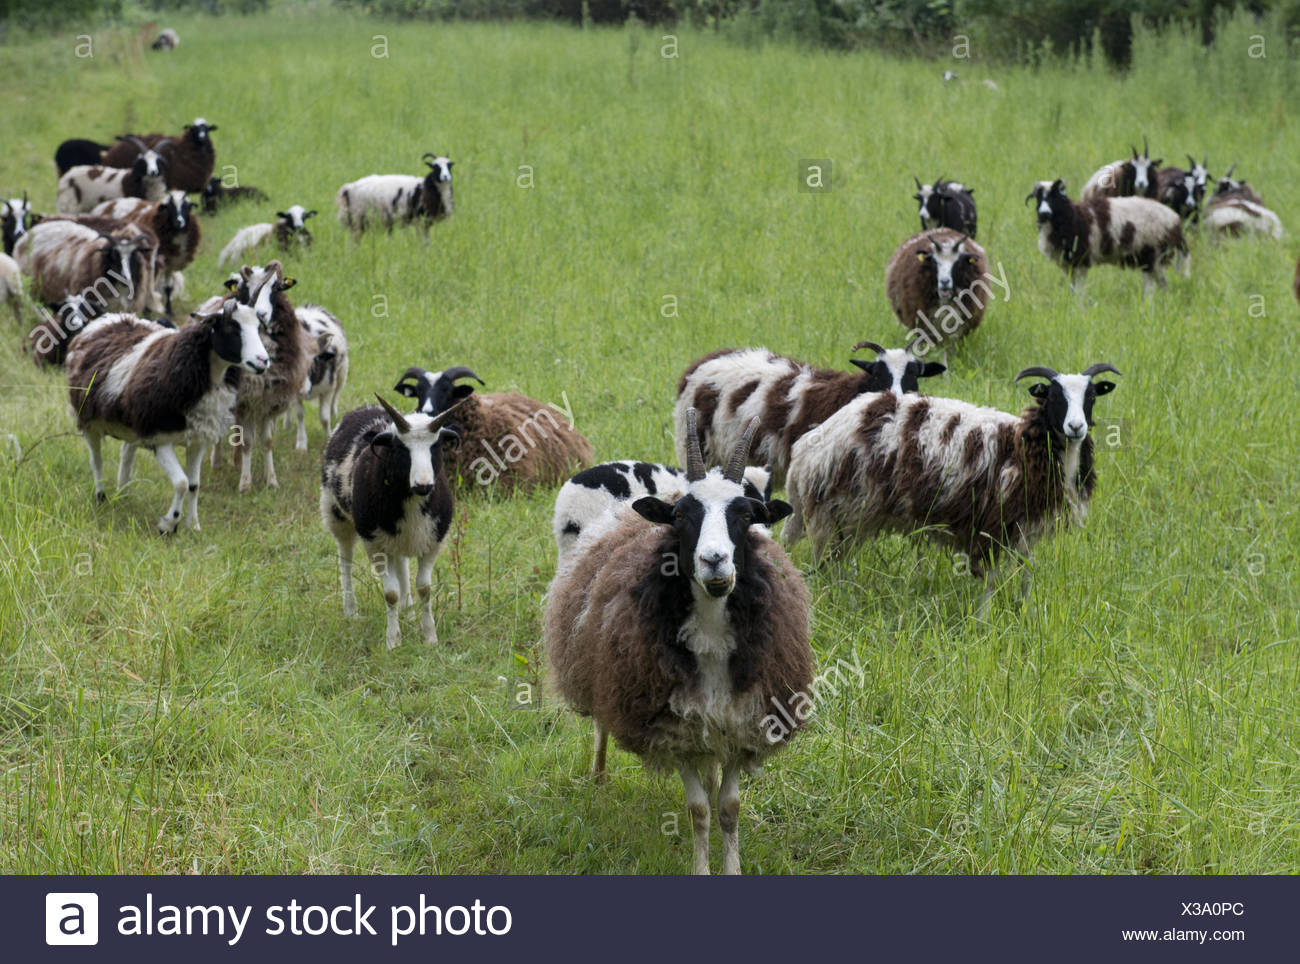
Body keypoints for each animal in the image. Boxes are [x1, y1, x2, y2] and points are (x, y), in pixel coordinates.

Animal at [64, 300, 269, 533]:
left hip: (134, 423)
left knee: (127, 453)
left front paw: (193, 525)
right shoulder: (159, 438)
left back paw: (123, 493)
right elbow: (181, 483)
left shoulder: (197, 441)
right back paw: (101, 496)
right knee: (96, 460)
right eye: (232, 328)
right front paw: (168, 524)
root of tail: (108, 318)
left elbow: (194, 485)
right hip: (88, 420)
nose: (263, 361)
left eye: (258, 328)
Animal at [320, 394, 463, 649]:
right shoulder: (375, 544)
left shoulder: (432, 541)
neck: (413, 499)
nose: (423, 484)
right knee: (345, 560)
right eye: (400, 447)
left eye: (436, 446)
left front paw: (429, 636)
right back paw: (351, 610)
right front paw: (393, 641)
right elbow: (391, 594)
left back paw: (408, 611)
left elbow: (424, 588)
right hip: (336, 515)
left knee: (402, 564)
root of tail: (366, 407)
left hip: (399, 537)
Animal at [544, 412, 813, 875]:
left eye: (746, 515)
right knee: (601, 722)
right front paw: (702, 869)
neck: (711, 637)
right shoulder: (673, 731)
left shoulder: (743, 721)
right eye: (682, 516)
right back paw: (598, 776)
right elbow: (700, 811)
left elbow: (729, 808)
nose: (714, 561)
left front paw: (732, 868)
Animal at [784, 364, 1121, 609]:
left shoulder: (1026, 524)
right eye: (1054, 397)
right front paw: (984, 621)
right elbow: (990, 579)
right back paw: (841, 598)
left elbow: (1026, 573)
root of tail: (806, 447)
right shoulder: (991, 524)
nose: (1076, 427)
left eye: (1091, 397)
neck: (1021, 445)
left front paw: (1027, 614)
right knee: (831, 561)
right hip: (839, 509)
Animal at [1029, 178, 1188, 298]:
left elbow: (1079, 291)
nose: (1043, 213)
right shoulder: (1069, 265)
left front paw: (1079, 310)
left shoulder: (1081, 261)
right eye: (1038, 199)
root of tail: (1175, 221)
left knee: (1154, 286)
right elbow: (1073, 289)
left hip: (1154, 255)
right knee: (1161, 284)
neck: (1073, 216)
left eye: (1053, 197)